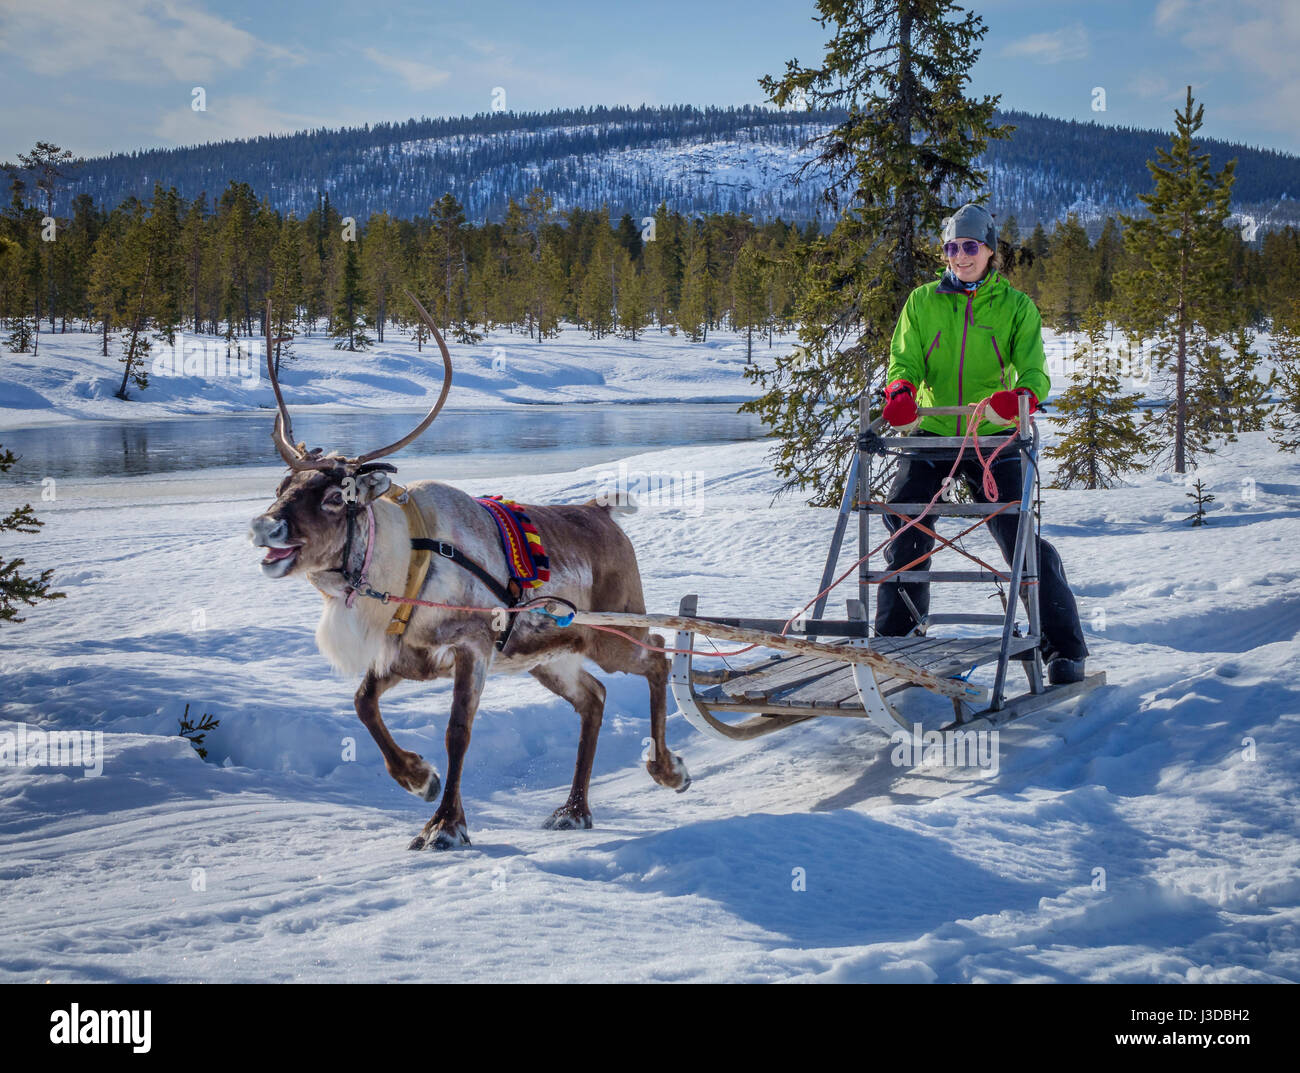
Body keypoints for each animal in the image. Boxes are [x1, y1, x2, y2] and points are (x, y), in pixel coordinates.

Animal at [248, 292, 690, 850]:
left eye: (334, 497)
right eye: (281, 485)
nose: (265, 525)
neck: (402, 568)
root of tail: (603, 511)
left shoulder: (472, 647)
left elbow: (458, 731)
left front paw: (445, 825)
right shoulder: (403, 657)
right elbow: (362, 703)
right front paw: (419, 778)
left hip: (609, 633)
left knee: (657, 655)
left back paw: (667, 770)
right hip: (547, 656)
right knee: (594, 698)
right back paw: (574, 810)